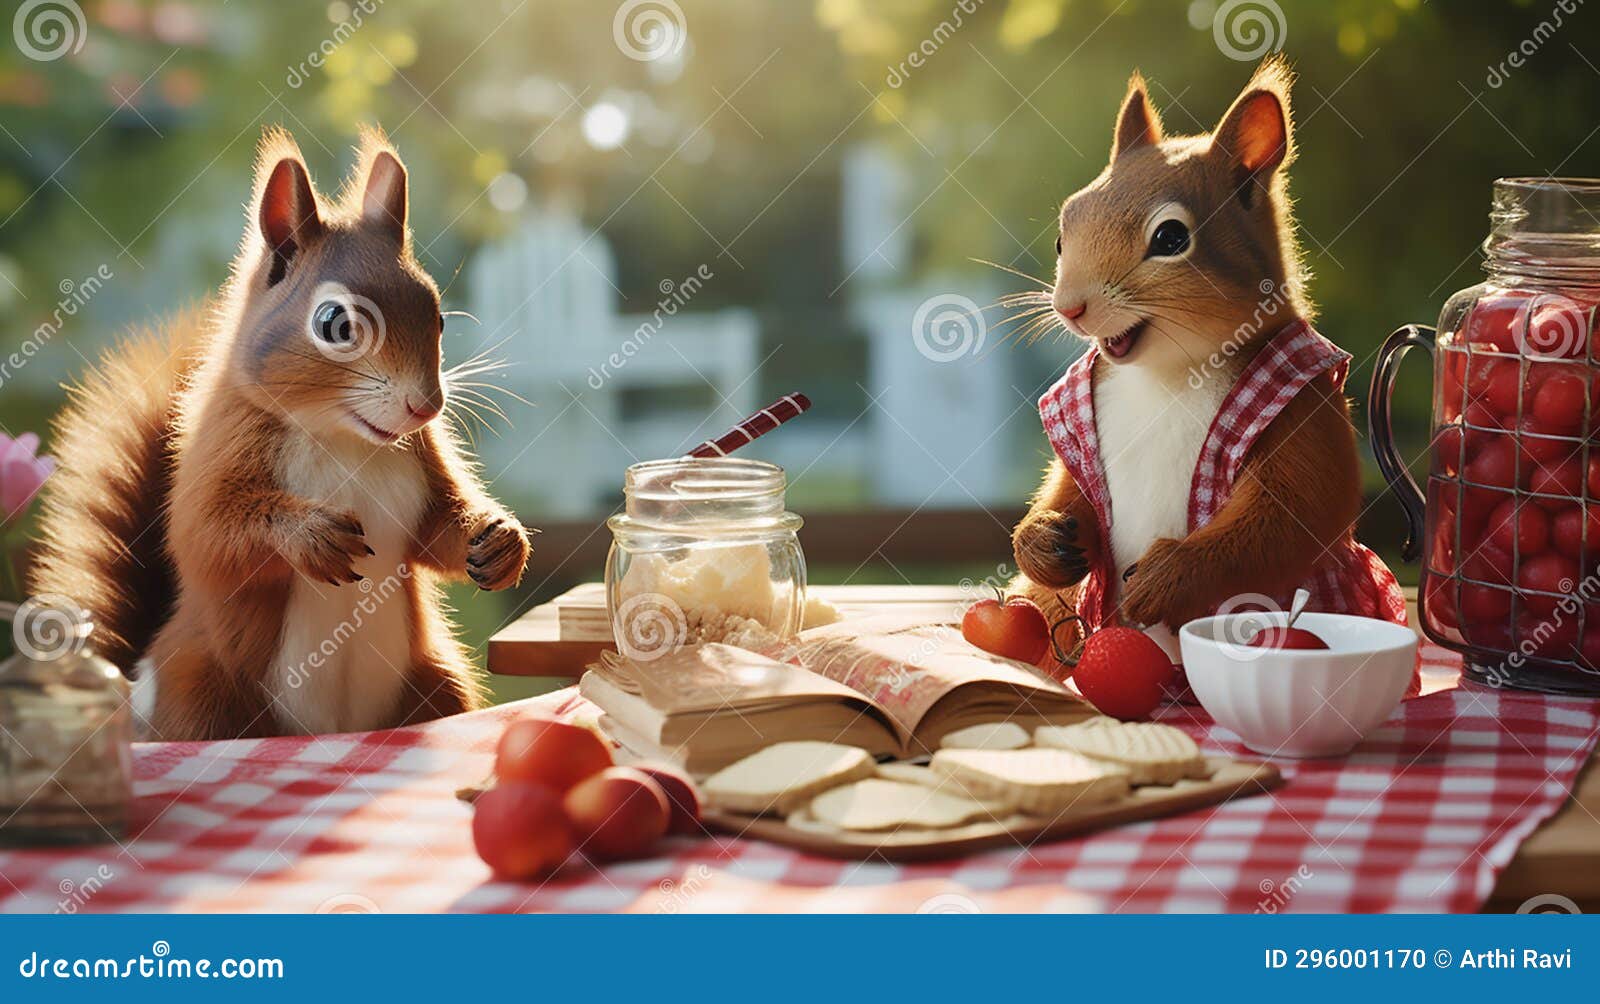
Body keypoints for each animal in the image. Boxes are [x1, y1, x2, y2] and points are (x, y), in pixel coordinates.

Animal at [29, 127, 532, 740]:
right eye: (336, 324)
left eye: (436, 316)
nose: (425, 406)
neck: (345, 439)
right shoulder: (222, 449)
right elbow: (207, 534)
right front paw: (310, 535)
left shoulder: (423, 460)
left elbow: (438, 525)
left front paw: (500, 541)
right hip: (203, 694)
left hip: (437, 682)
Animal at [1011, 58, 1407, 657]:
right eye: (1064, 233)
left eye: (1171, 238)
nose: (1069, 307)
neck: (1166, 373)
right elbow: (1069, 487)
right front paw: (1041, 538)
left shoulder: (1303, 408)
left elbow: (1291, 515)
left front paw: (1167, 577)